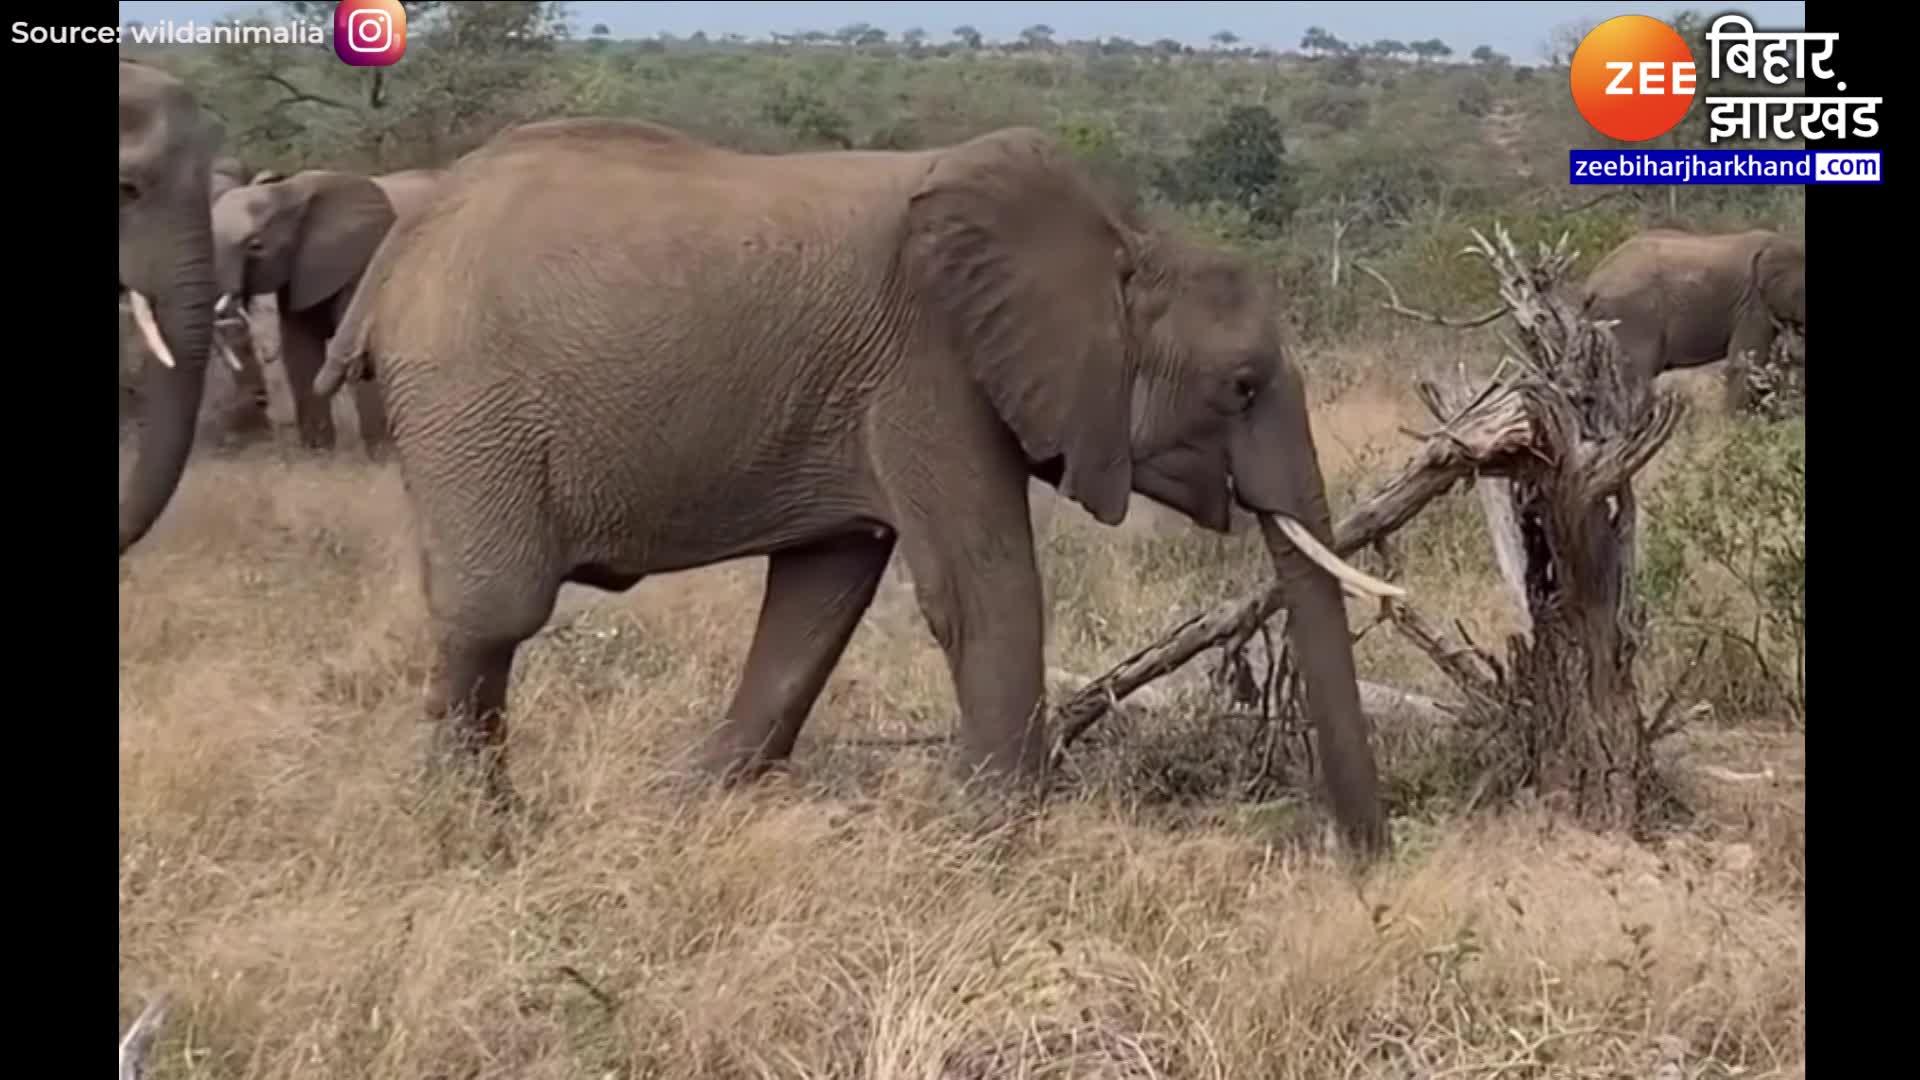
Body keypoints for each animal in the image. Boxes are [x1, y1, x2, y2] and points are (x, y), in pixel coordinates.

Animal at [317, 119, 1400, 856]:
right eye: (1242, 387)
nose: (1363, 864)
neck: (1125, 239)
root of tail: (397, 257)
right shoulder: (932, 370)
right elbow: (984, 593)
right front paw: (998, 846)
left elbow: (819, 596)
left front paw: (689, 805)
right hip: (467, 403)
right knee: (495, 612)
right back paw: (478, 828)